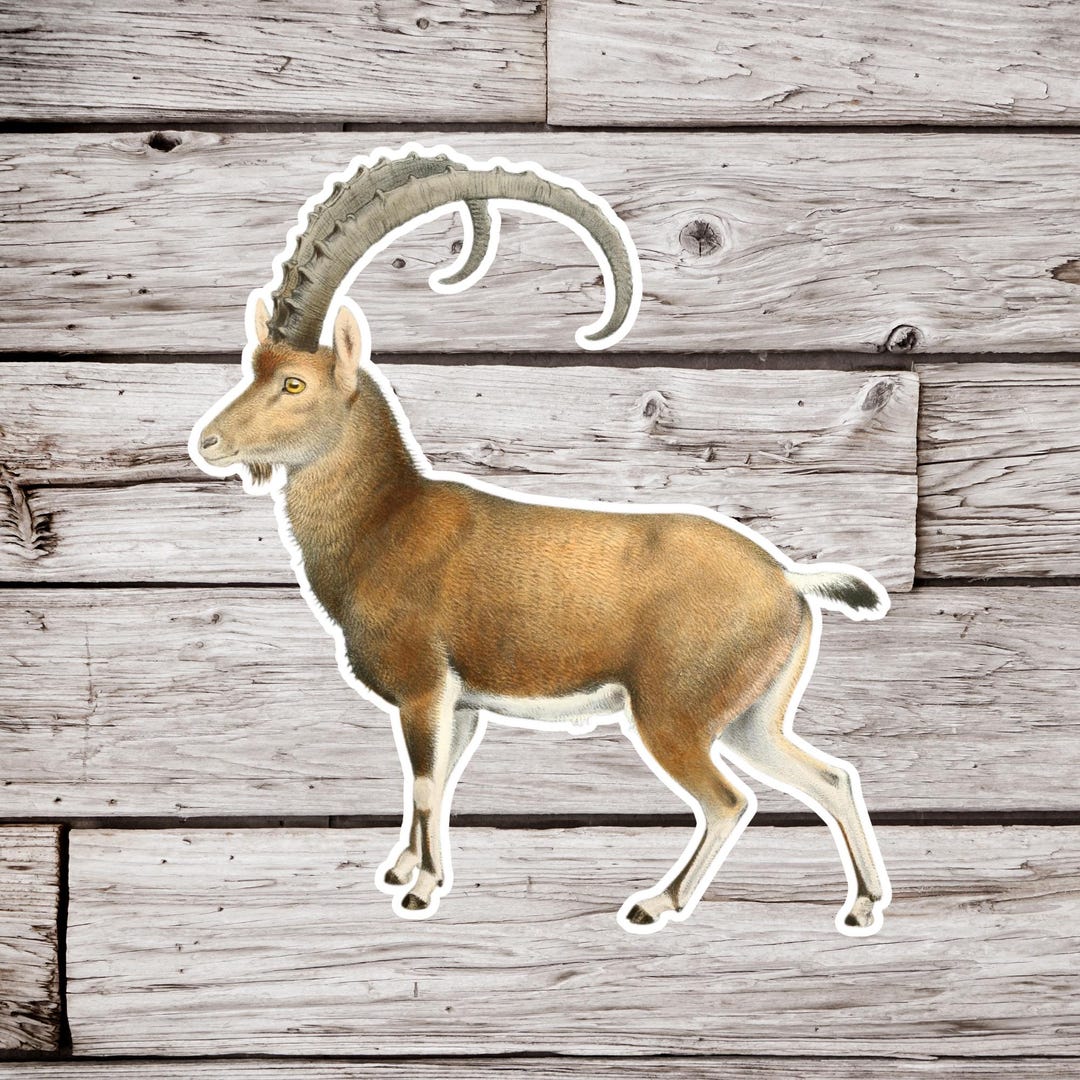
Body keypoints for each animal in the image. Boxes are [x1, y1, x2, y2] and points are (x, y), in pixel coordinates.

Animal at [190, 143, 892, 936]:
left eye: (295, 384)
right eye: (255, 368)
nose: (207, 442)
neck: (388, 522)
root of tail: (788, 582)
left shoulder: (424, 690)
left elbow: (425, 785)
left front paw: (420, 891)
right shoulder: (459, 706)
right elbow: (432, 784)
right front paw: (406, 870)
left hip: (672, 718)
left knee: (729, 801)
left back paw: (655, 903)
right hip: (751, 721)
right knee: (833, 777)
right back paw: (862, 907)